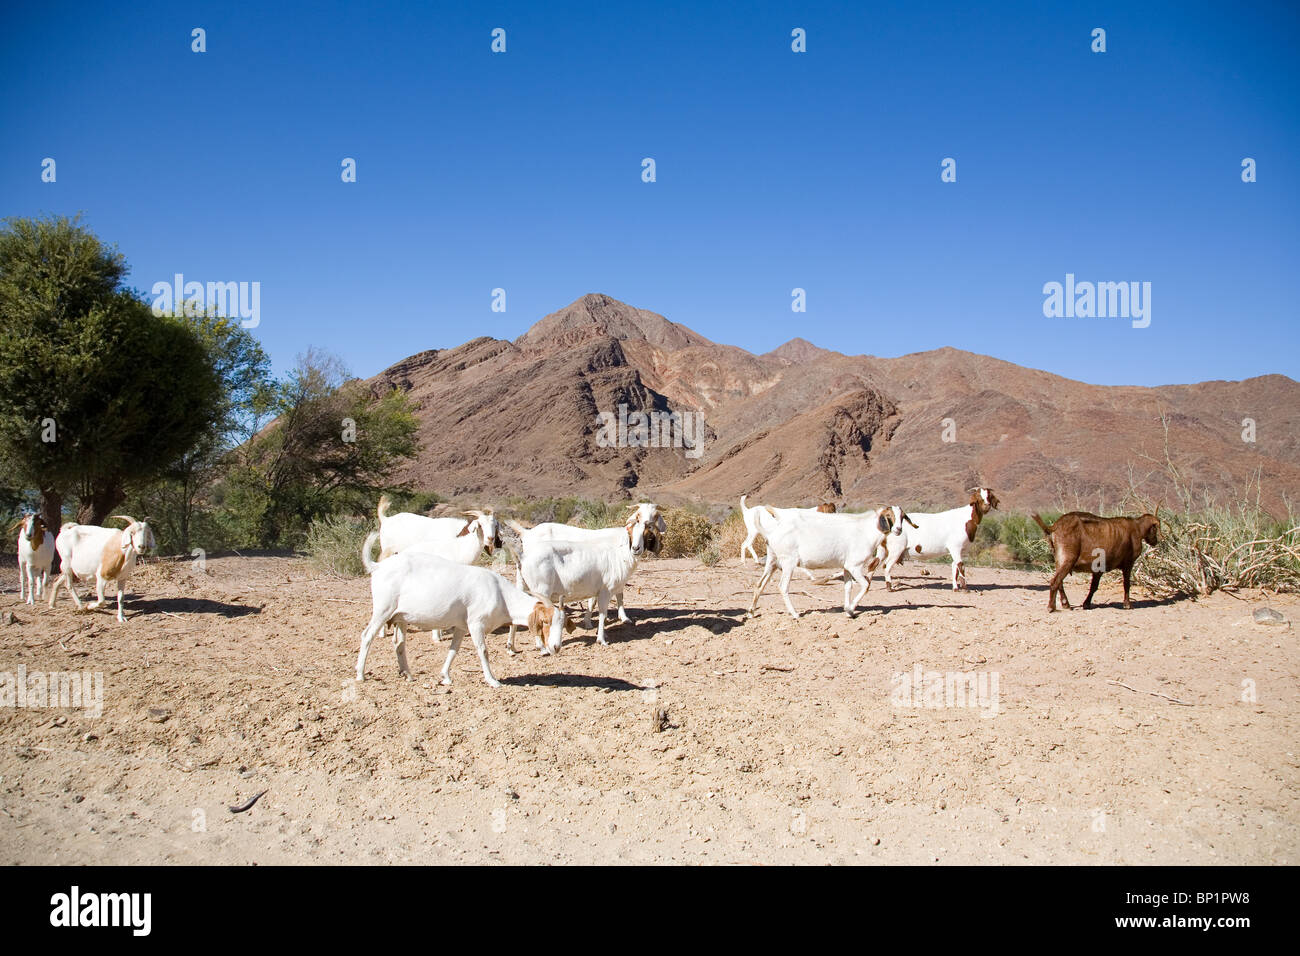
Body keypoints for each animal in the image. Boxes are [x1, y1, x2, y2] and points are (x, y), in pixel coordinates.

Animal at [355, 551, 564, 685]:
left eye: (562, 624)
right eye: (546, 621)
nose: (556, 647)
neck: (500, 593)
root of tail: (378, 566)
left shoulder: (462, 627)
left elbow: (453, 650)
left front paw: (445, 677)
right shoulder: (475, 624)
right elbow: (483, 650)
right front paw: (493, 680)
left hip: (399, 617)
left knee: (399, 643)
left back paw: (408, 674)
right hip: (383, 609)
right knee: (367, 635)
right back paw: (360, 675)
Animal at [747, 506, 895, 619]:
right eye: (890, 516)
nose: (898, 530)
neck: (865, 531)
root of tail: (771, 533)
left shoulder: (846, 567)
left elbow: (848, 587)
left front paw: (848, 610)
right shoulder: (854, 566)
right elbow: (865, 585)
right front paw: (851, 609)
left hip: (773, 562)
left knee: (759, 584)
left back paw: (751, 613)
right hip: (788, 563)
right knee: (782, 587)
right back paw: (795, 614)